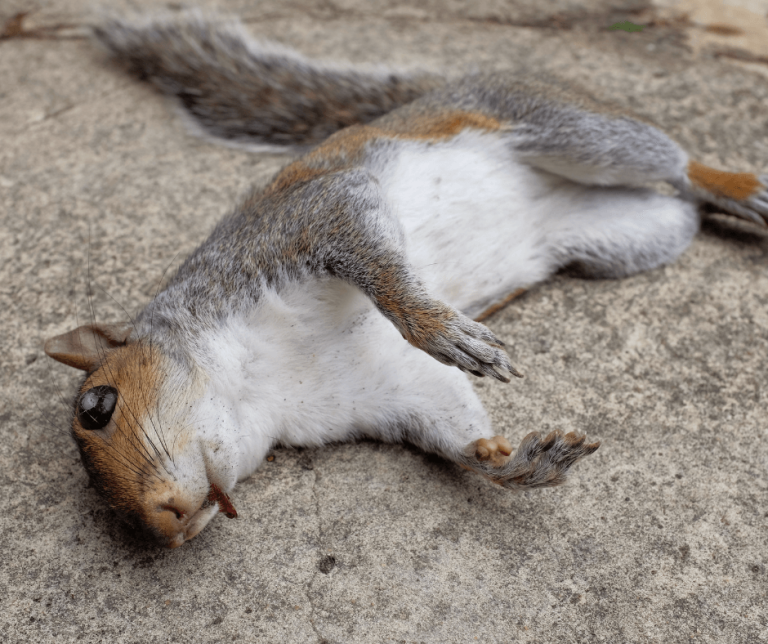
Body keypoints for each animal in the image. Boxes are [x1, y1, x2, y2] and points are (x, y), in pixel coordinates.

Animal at [43, 10, 768, 548]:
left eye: (97, 407)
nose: (161, 529)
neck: (256, 383)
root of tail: (442, 88)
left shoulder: (306, 222)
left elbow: (377, 262)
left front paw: (442, 329)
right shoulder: (384, 389)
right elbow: (452, 422)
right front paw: (515, 464)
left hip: (568, 129)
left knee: (675, 164)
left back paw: (743, 189)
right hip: (626, 234)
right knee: (682, 206)